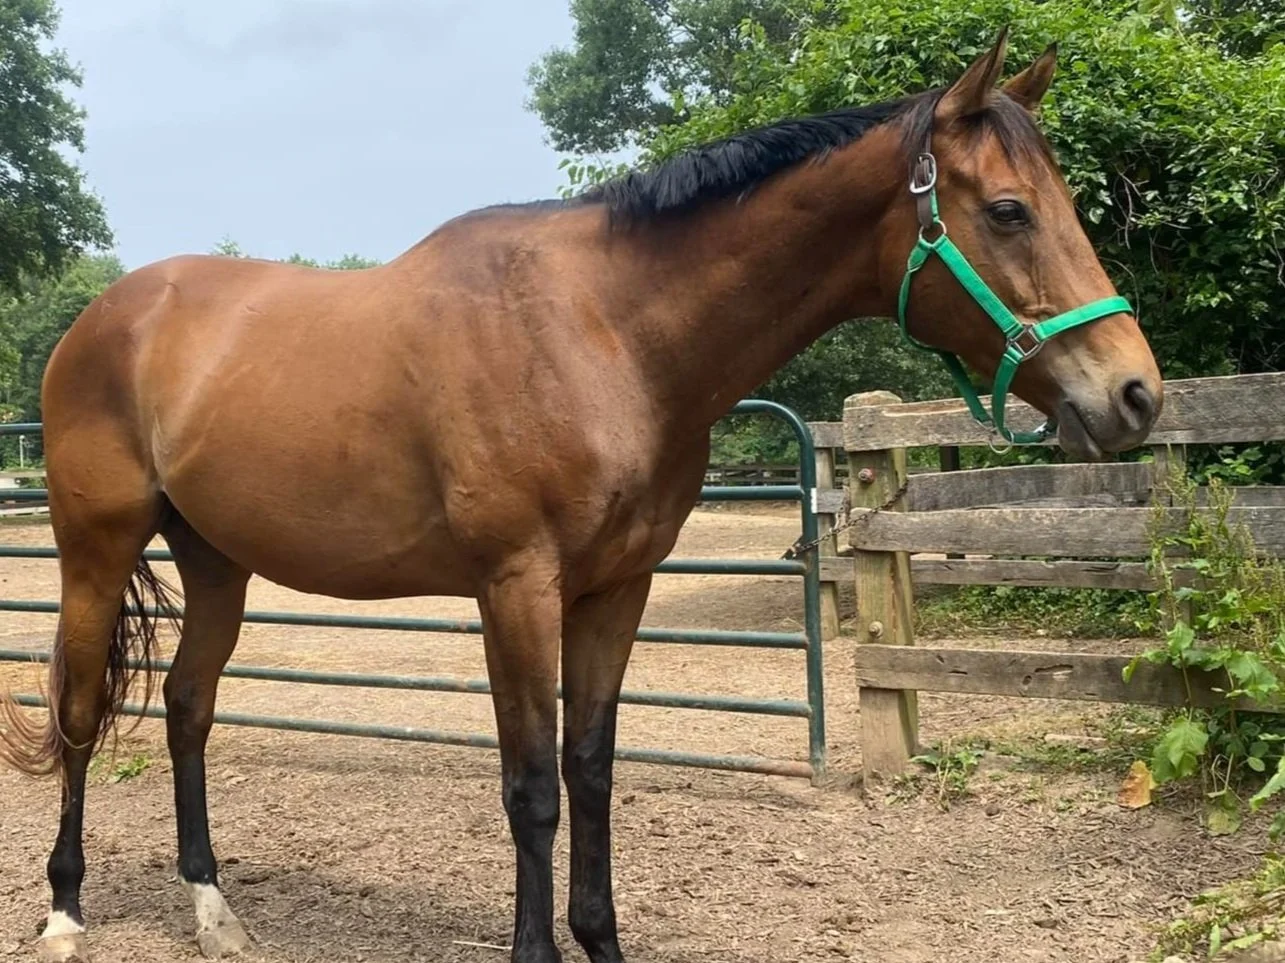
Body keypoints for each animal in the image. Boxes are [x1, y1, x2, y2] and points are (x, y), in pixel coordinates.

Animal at [1, 29, 1162, 963]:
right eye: (1007, 211)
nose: (1133, 393)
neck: (608, 331)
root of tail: (108, 315)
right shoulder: (516, 588)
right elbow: (532, 786)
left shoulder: (617, 589)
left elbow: (592, 769)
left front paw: (600, 940)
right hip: (96, 550)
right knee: (83, 707)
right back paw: (64, 912)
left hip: (218, 560)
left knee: (188, 708)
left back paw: (213, 911)